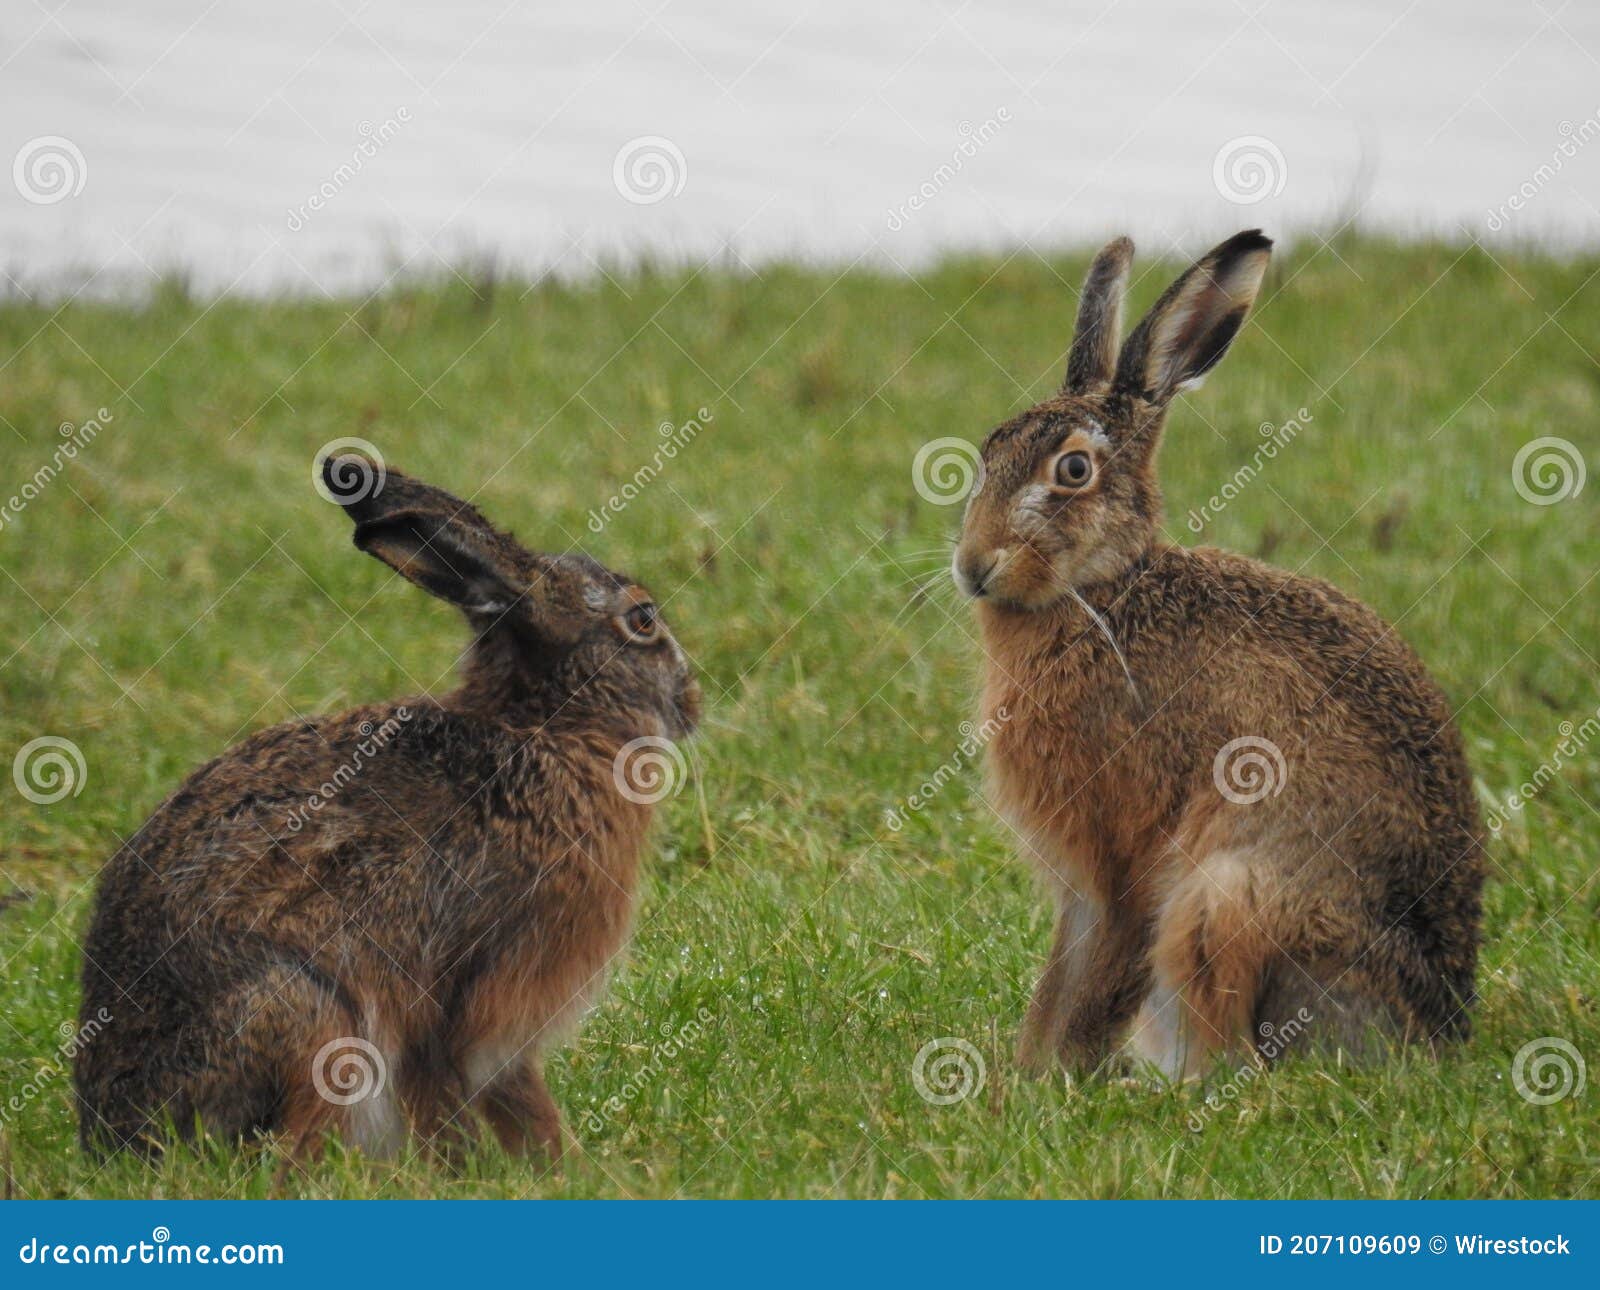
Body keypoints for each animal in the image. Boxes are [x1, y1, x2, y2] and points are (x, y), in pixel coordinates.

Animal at [74, 454, 700, 1160]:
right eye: (643, 620)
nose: (693, 702)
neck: (547, 727)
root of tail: (117, 1134)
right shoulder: (477, 1000)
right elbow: (487, 1093)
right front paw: (523, 1169)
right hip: (308, 1014)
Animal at [952, 230, 1484, 1080]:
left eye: (1073, 470)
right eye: (989, 450)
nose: (974, 565)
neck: (1104, 593)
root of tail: (1431, 1030)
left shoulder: (1122, 863)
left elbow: (1097, 969)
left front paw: (1051, 1078)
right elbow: (1060, 974)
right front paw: (1030, 1070)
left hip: (1227, 898)